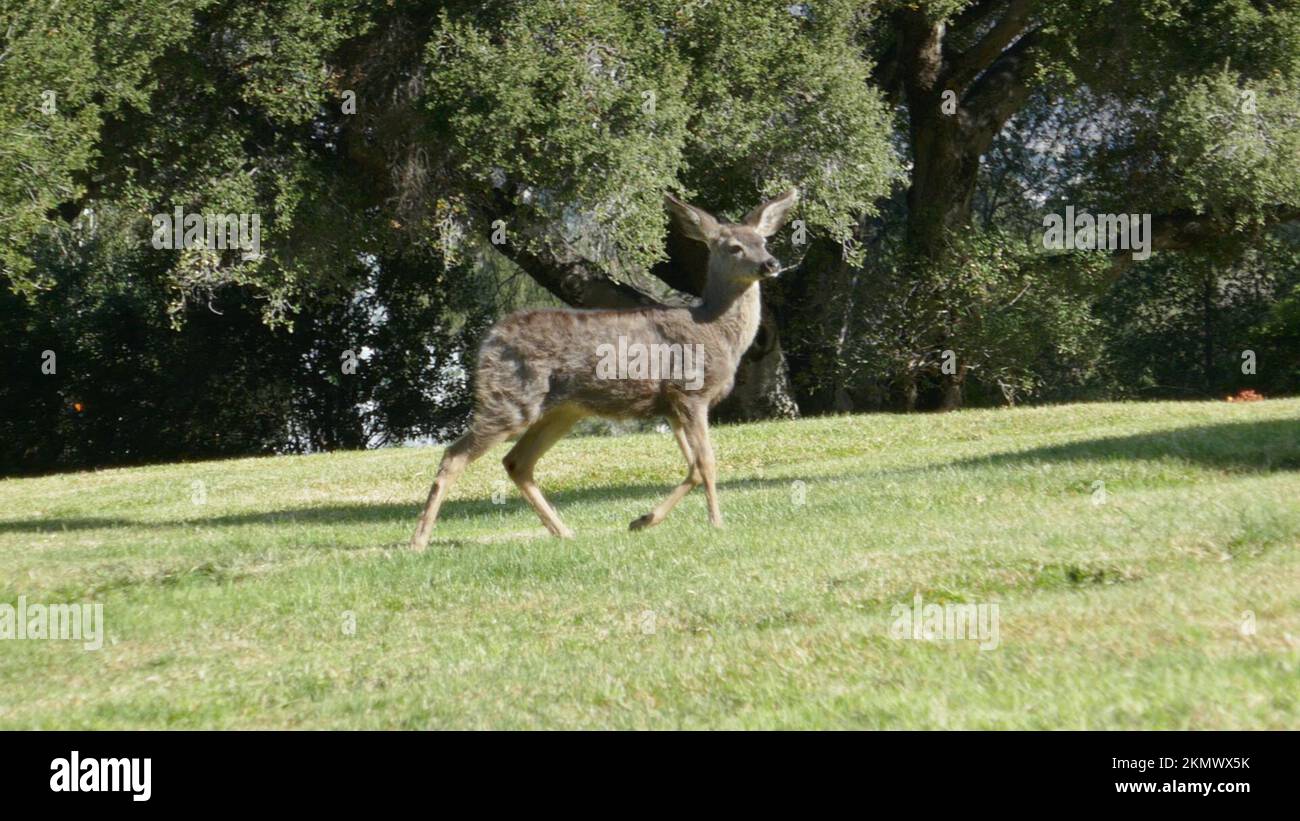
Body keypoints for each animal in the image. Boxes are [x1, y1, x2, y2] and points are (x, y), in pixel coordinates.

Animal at [409, 188, 798, 550]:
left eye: (763, 241)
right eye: (734, 247)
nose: (771, 263)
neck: (715, 330)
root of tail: (487, 340)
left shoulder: (671, 405)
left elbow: (692, 467)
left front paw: (642, 520)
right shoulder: (690, 391)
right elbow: (706, 463)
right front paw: (717, 522)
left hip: (564, 410)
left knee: (517, 461)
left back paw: (564, 531)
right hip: (511, 397)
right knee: (455, 455)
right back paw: (418, 541)